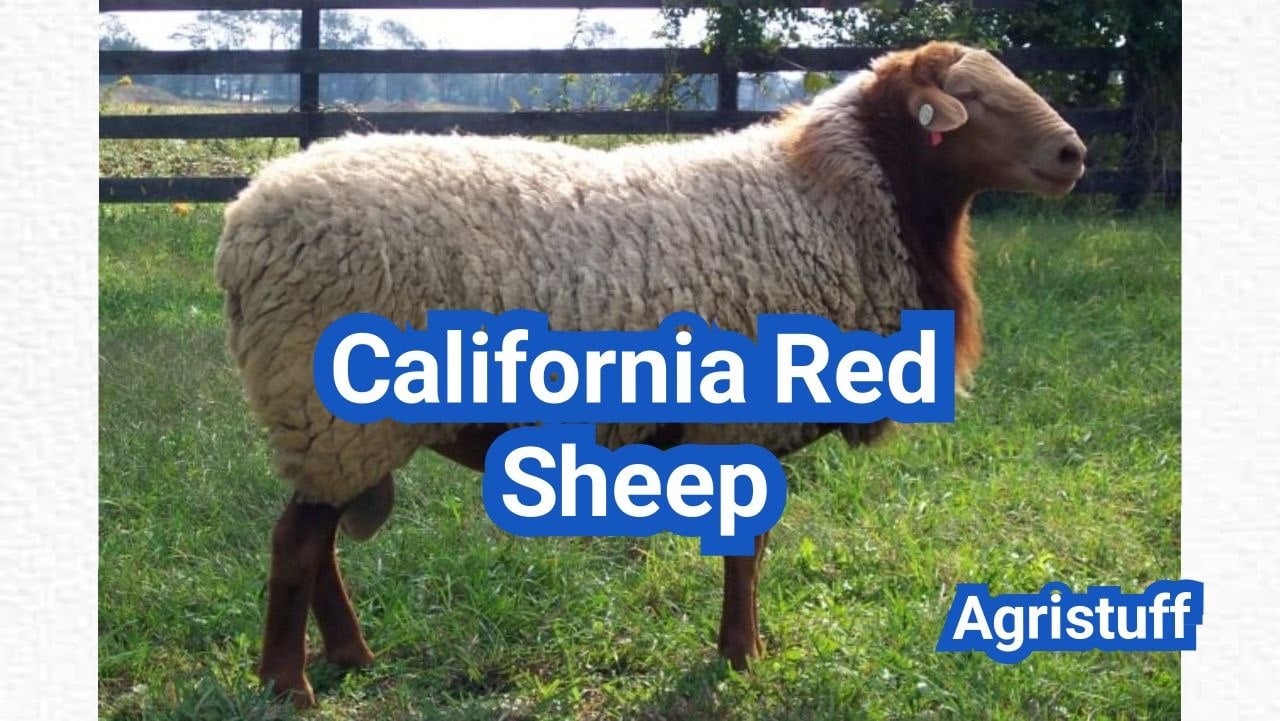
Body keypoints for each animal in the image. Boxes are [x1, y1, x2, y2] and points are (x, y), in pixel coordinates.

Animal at [215, 41, 1085, 707]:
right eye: (969, 97)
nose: (1074, 153)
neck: (839, 198)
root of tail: (244, 223)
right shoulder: (748, 419)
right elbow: (746, 548)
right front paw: (742, 654)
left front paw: (741, 648)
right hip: (331, 410)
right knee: (297, 541)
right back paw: (289, 683)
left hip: (334, 423)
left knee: (319, 538)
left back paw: (350, 656)